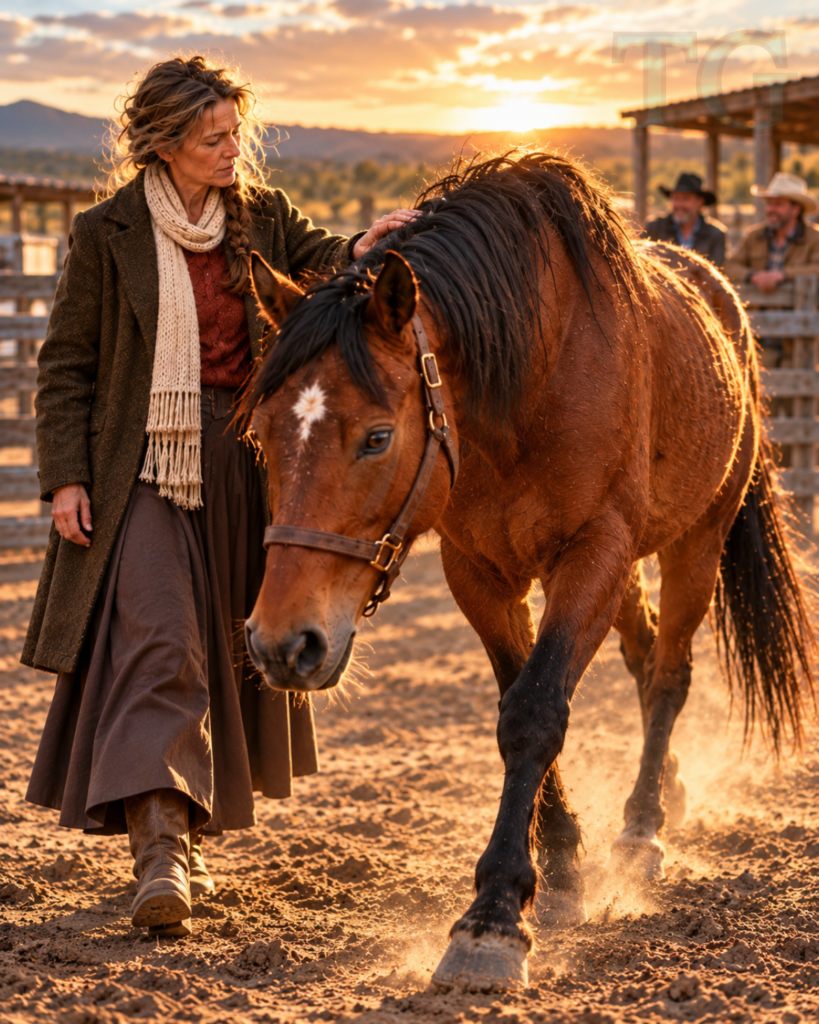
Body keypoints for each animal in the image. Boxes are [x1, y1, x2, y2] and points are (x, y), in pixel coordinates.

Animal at [238, 151, 815, 993]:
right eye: (260, 435)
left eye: (376, 437)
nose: (284, 643)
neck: (528, 379)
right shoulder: (479, 573)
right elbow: (518, 701)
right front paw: (561, 864)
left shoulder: (592, 554)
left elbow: (535, 714)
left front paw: (494, 918)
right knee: (644, 656)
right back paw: (667, 788)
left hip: (694, 545)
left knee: (668, 673)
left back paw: (642, 828)